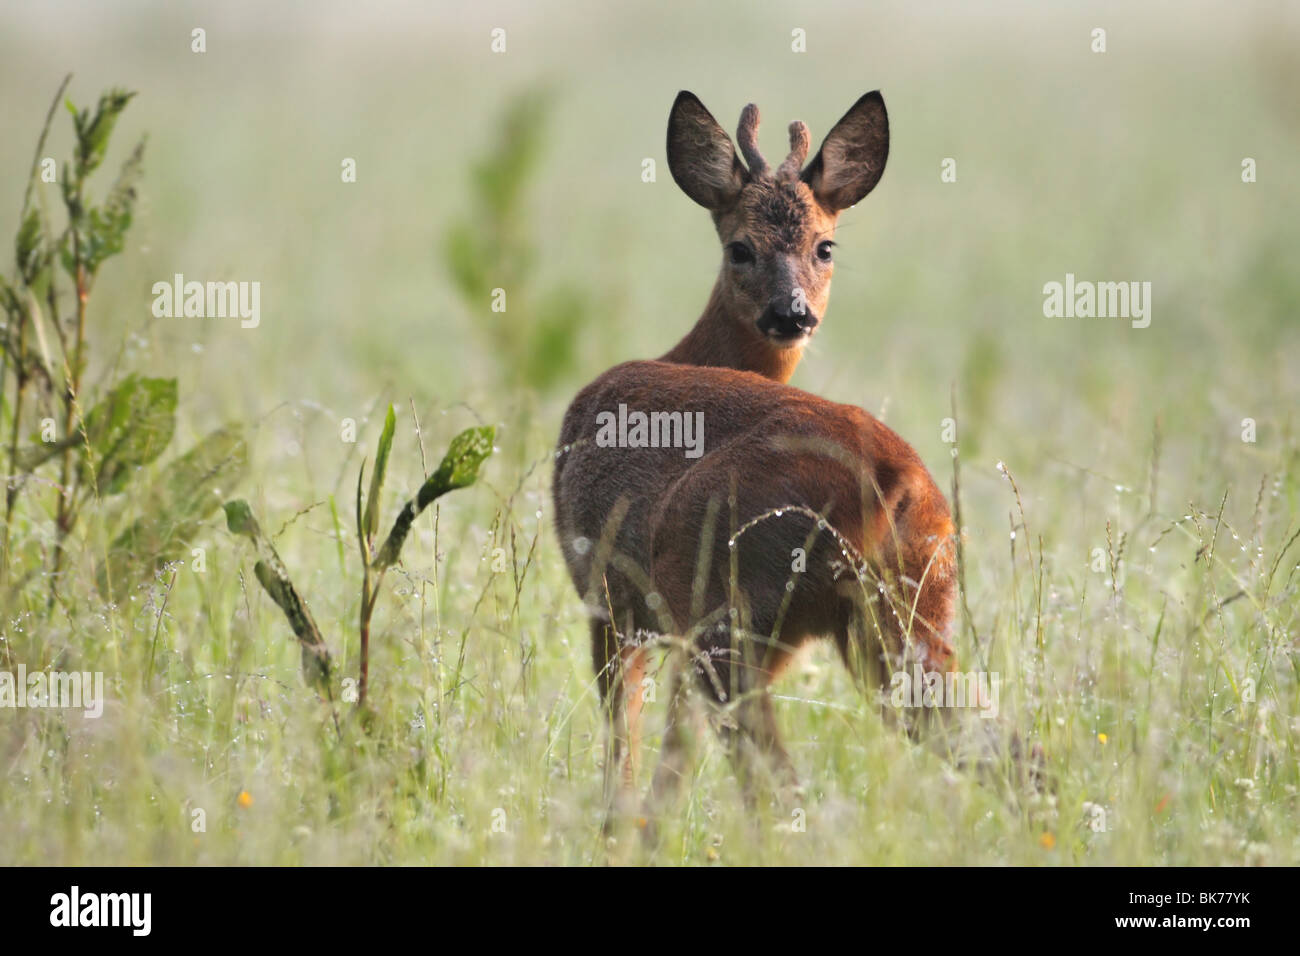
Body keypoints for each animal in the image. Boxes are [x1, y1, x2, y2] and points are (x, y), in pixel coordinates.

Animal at [553, 90, 970, 824]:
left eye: (825, 246)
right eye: (740, 248)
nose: (791, 313)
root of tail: (892, 483)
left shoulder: (605, 591)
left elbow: (624, 753)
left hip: (732, 607)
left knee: (772, 782)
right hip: (911, 611)